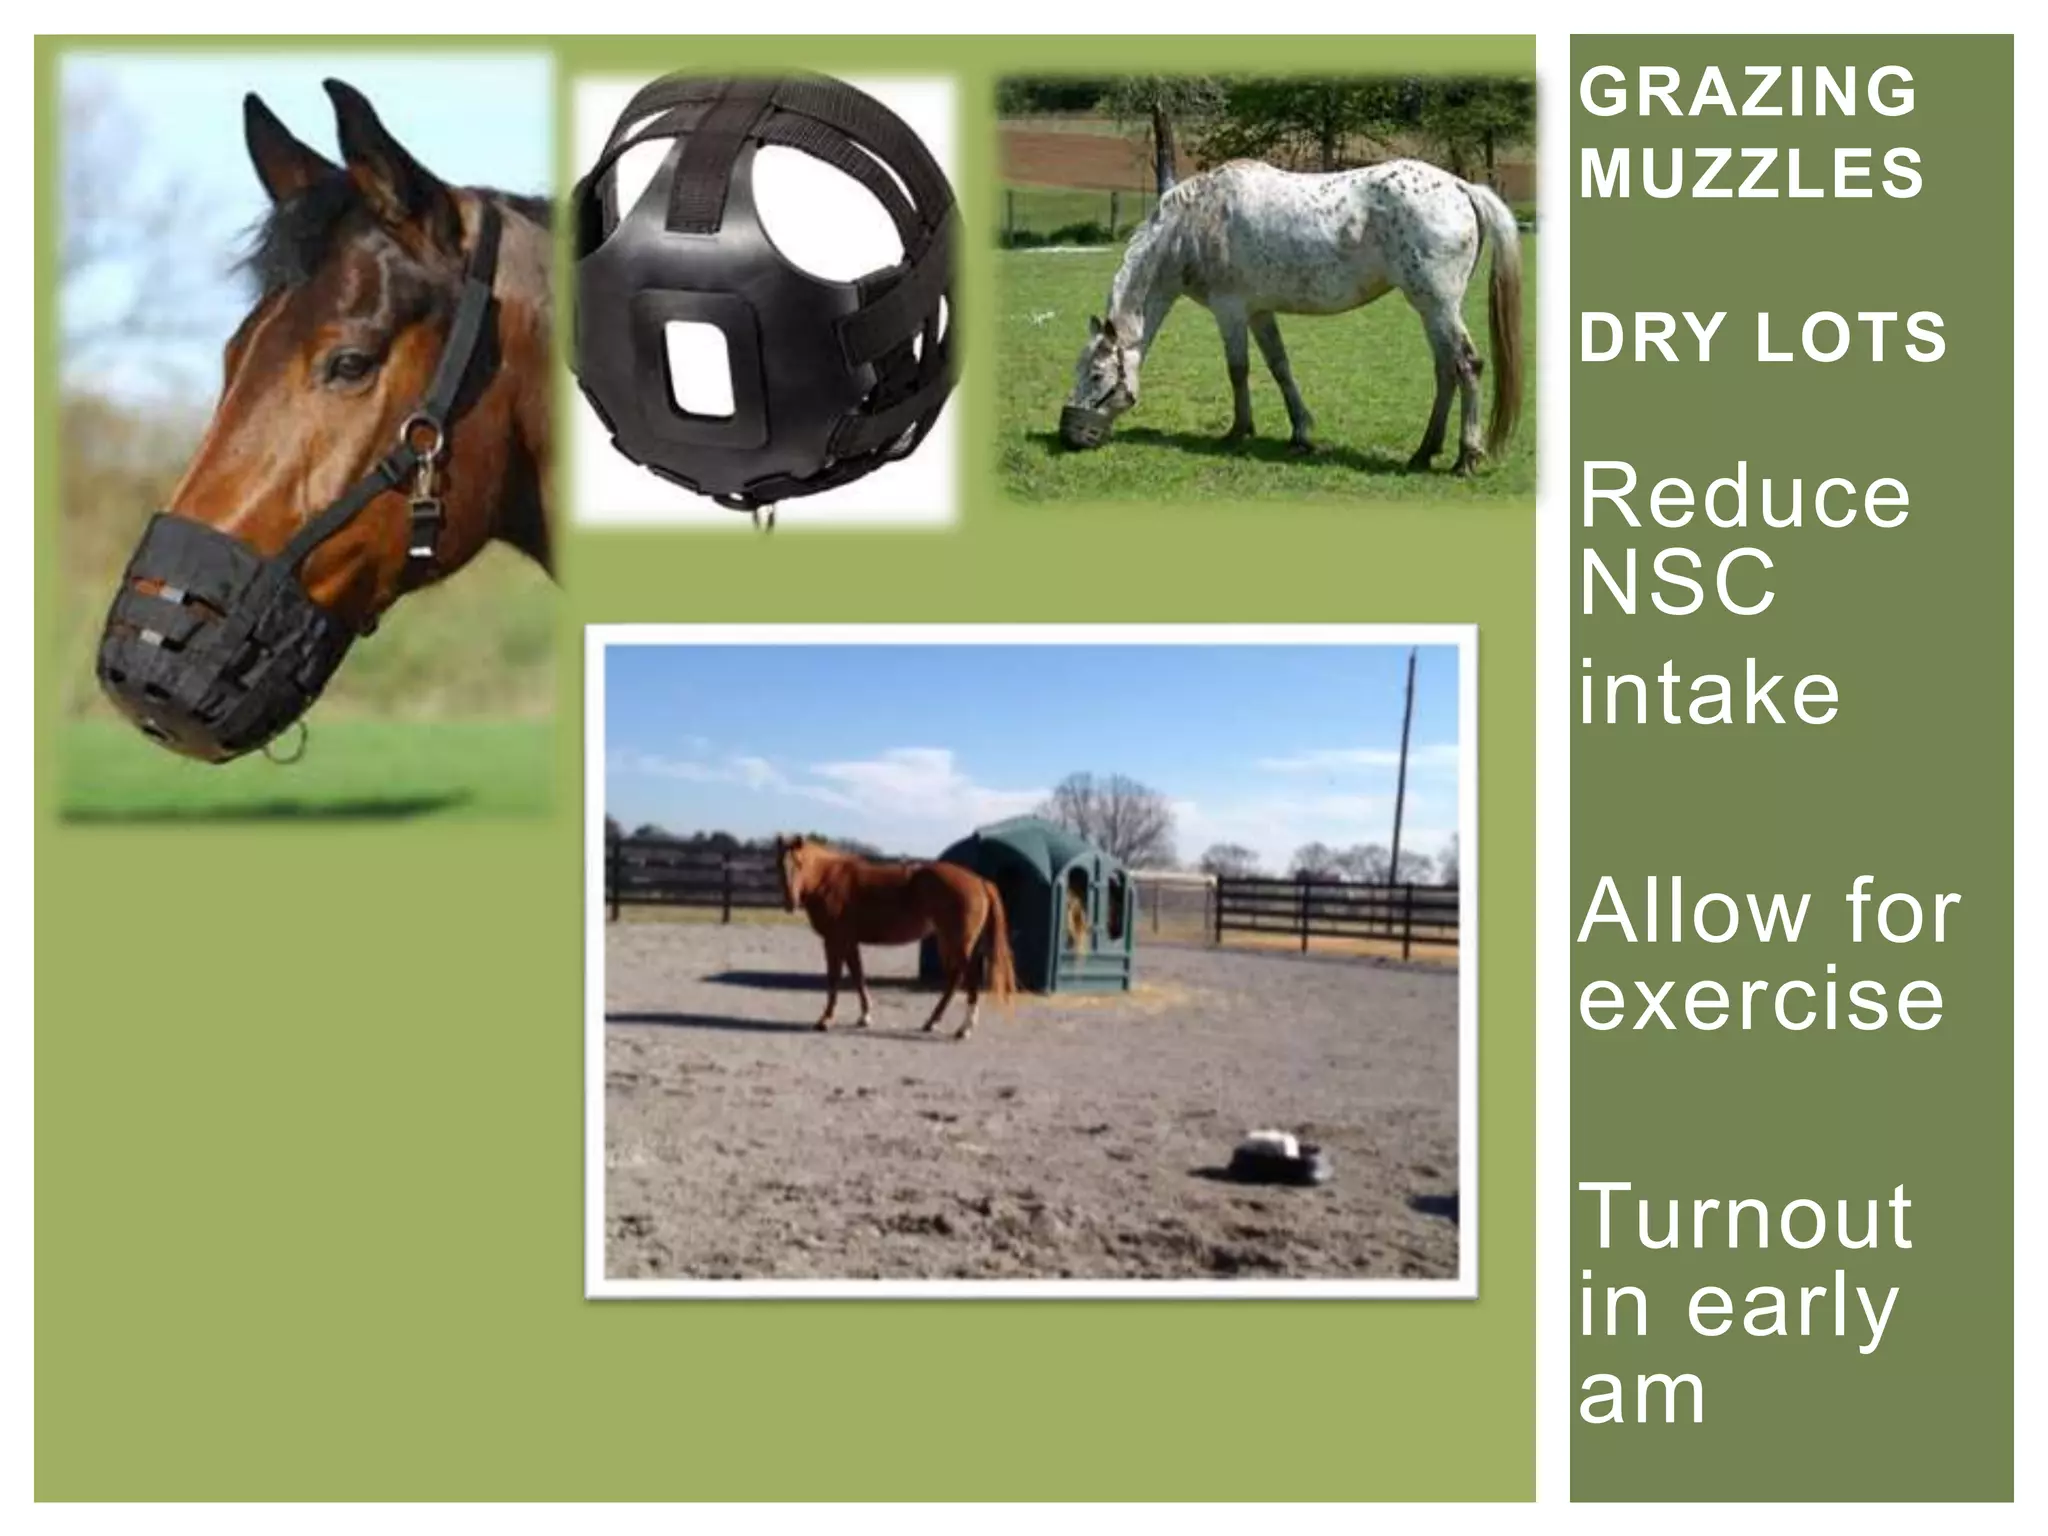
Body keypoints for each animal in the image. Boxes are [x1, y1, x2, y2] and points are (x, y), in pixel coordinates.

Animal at [775, 837, 1017, 1040]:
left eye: (800, 864)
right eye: (778, 865)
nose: (790, 903)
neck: (829, 880)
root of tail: (979, 881)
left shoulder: (834, 941)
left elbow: (834, 979)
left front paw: (825, 1020)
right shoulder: (850, 942)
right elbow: (858, 976)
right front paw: (865, 1017)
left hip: (957, 943)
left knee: (969, 978)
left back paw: (964, 1028)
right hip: (948, 941)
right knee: (954, 979)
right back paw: (932, 1022)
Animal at [1059, 158, 1523, 476]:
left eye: (1097, 375)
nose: (1071, 435)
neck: (1190, 227)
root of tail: (1461, 186)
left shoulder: (1231, 311)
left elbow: (1238, 370)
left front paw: (1238, 431)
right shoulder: (1260, 311)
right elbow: (1280, 367)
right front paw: (1300, 434)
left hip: (1437, 305)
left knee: (1467, 366)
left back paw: (1466, 457)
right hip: (1430, 308)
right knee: (1446, 371)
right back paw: (1424, 452)